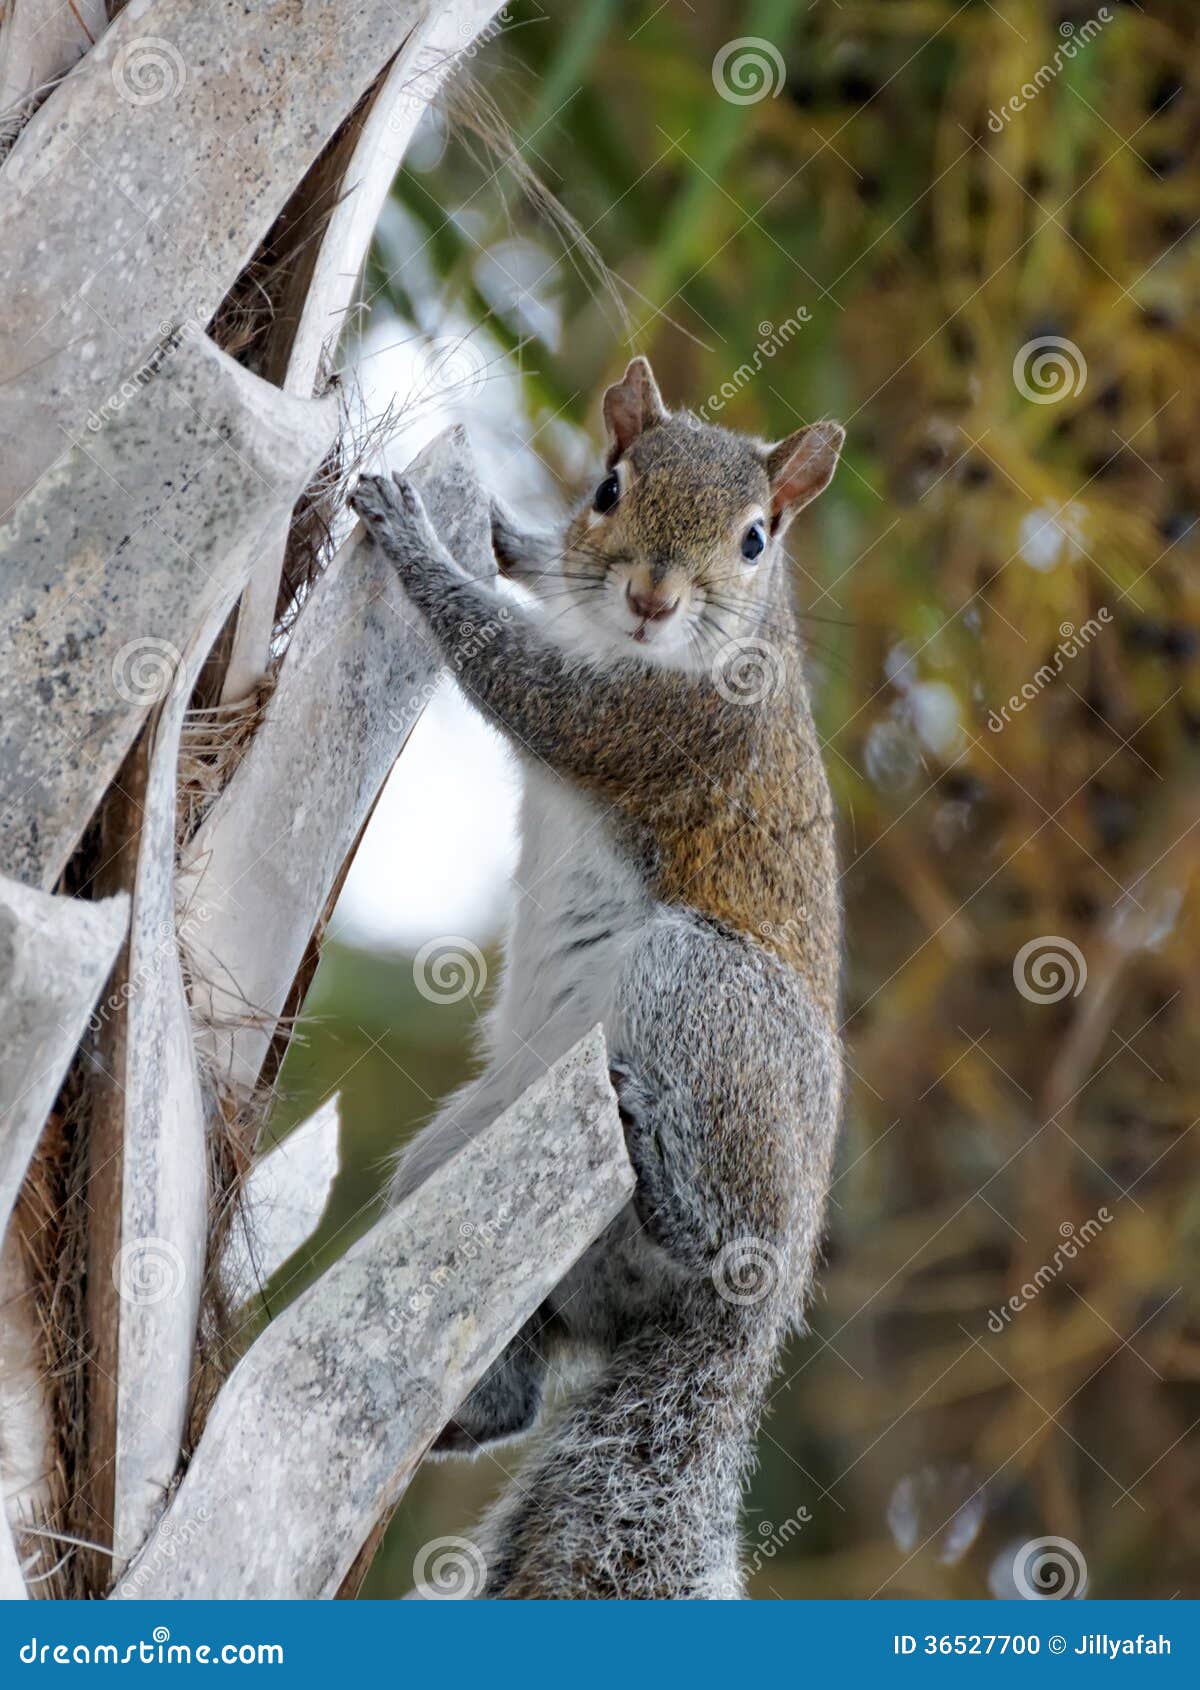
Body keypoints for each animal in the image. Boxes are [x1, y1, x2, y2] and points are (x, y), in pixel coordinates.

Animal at [351, 357, 845, 1599]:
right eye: (610, 487)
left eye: (757, 538)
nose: (654, 597)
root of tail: (748, 1338)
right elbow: (536, 581)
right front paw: (500, 531)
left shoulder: (653, 723)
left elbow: (513, 674)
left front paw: (416, 538)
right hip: (471, 1163)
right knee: (515, 1385)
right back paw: (427, 1416)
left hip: (704, 997)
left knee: (724, 1249)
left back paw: (673, 1190)